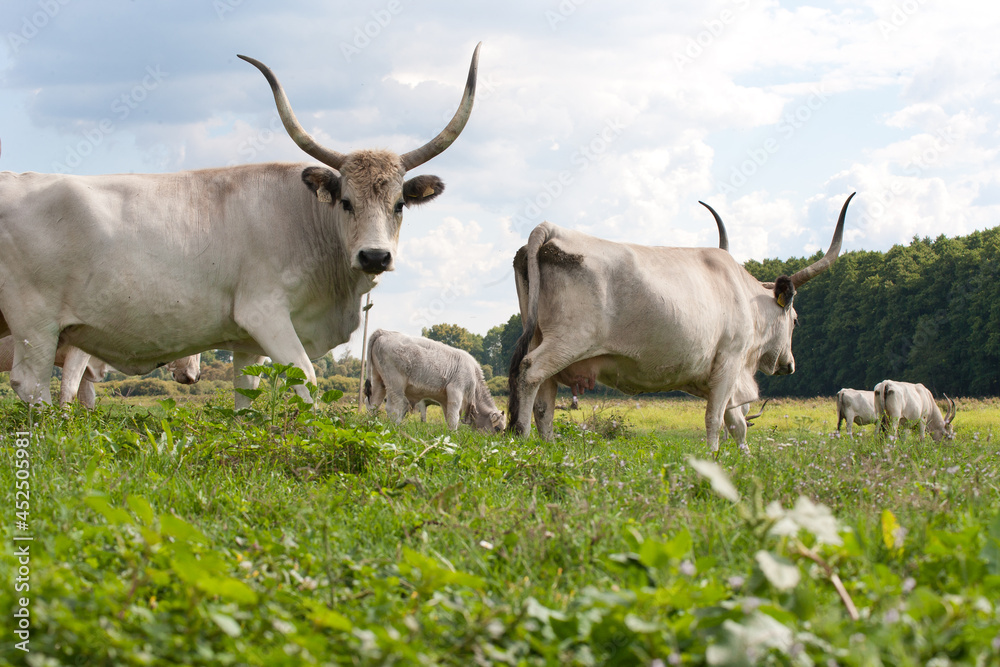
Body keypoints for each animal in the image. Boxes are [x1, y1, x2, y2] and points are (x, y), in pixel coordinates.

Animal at [0, 45, 480, 410]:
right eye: (346, 202)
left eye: (399, 204)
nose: (375, 255)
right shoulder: (264, 313)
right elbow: (306, 379)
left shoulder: (246, 340)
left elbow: (245, 399)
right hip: (35, 326)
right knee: (32, 385)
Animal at [364, 329, 505, 432]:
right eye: (498, 429)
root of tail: (385, 332)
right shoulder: (455, 391)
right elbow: (454, 418)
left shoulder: (445, 400)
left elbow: (449, 417)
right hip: (395, 385)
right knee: (394, 408)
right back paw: (395, 429)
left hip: (379, 381)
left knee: (373, 404)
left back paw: (371, 424)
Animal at [507, 193, 855, 452]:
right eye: (796, 320)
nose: (789, 364)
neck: (745, 296)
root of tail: (552, 229)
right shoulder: (729, 361)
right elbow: (716, 418)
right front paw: (714, 456)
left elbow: (736, 423)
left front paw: (742, 455)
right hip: (567, 341)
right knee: (530, 372)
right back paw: (522, 435)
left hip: (541, 337)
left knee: (544, 399)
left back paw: (549, 444)